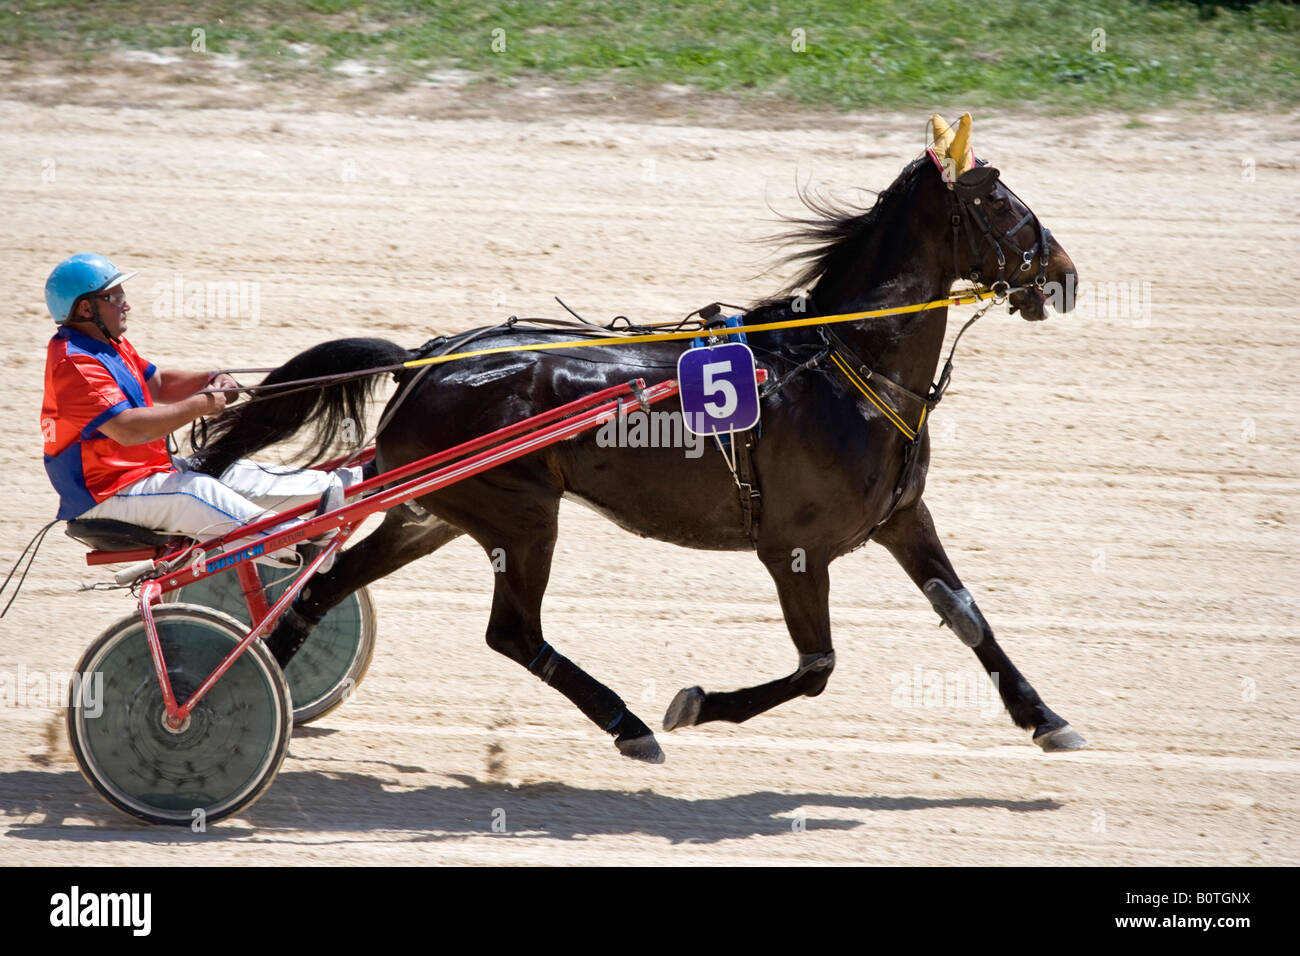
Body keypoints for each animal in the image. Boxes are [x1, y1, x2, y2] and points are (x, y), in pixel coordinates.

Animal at [192, 113, 1086, 763]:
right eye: (1000, 201)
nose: (1066, 274)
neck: (842, 367)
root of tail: (428, 358)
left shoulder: (903, 517)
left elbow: (969, 618)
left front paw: (1045, 716)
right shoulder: (795, 550)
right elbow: (817, 668)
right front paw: (696, 704)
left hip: (432, 512)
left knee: (320, 590)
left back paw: (260, 692)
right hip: (522, 517)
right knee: (512, 632)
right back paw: (628, 725)